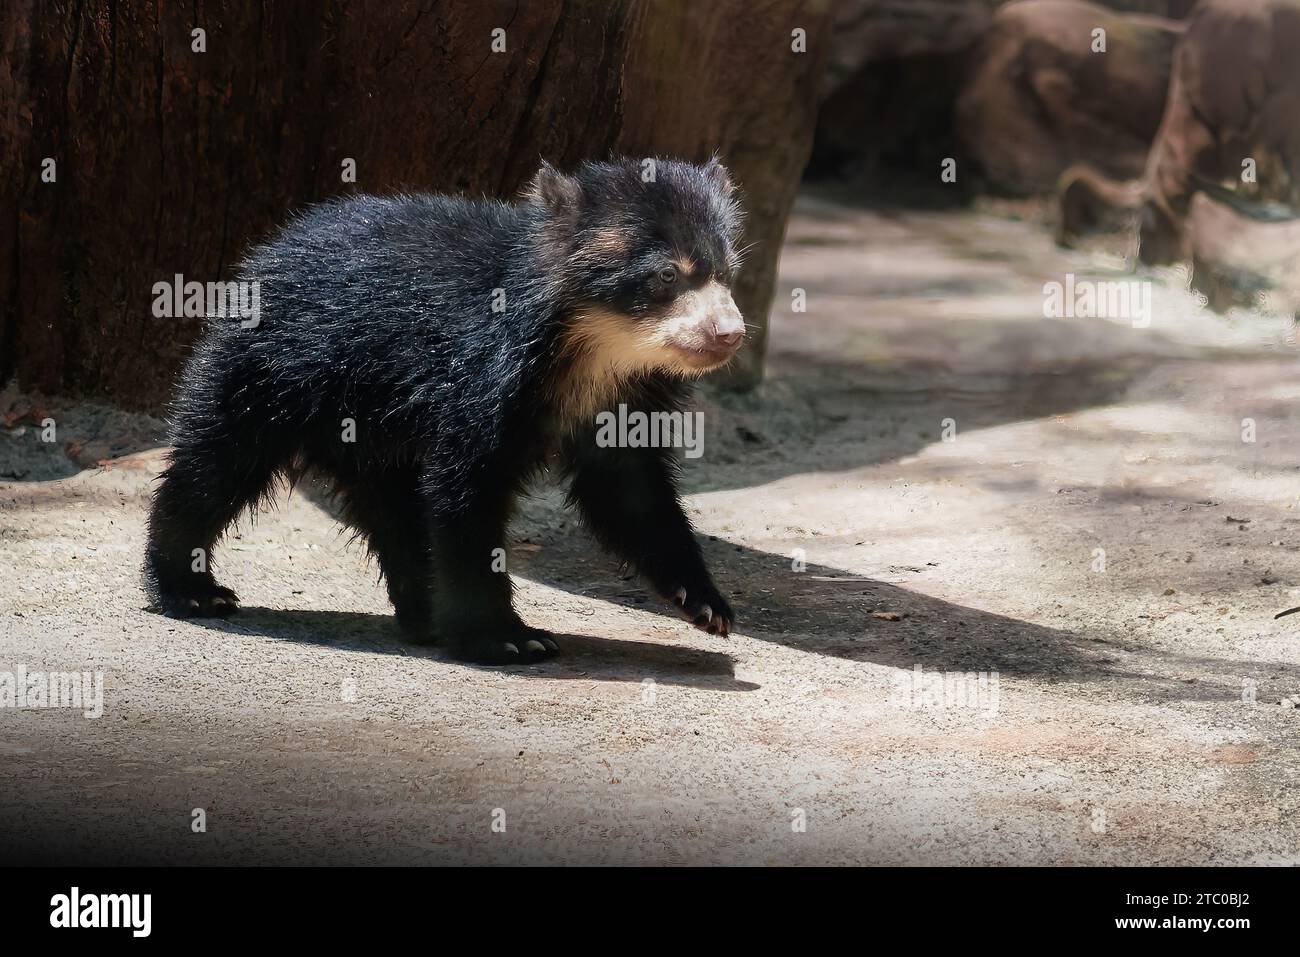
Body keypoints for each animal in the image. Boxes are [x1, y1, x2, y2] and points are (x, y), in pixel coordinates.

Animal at [143, 156, 747, 664]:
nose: (731, 333)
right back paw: (192, 590)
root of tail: (265, 252)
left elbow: (629, 490)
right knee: (219, 461)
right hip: (274, 368)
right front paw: (509, 638)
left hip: (366, 425)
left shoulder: (623, 398)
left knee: (394, 510)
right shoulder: (481, 375)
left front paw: (709, 606)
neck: (592, 351)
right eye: (667, 274)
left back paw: (423, 615)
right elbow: (467, 491)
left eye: (726, 271)